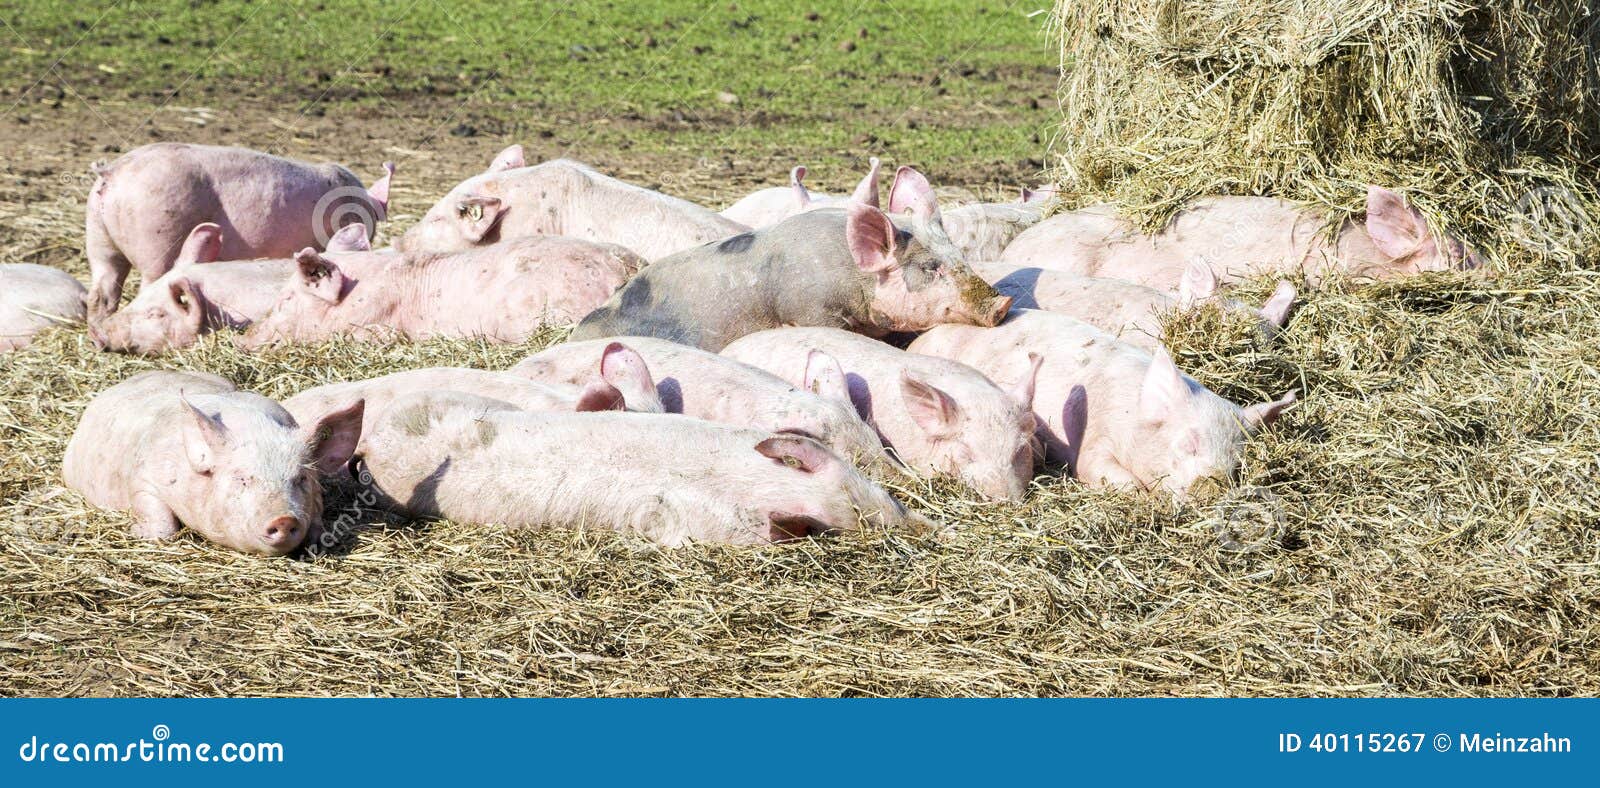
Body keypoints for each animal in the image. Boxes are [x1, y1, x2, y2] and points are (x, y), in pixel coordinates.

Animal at [62, 370, 363, 556]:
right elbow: (162, 524)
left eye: (300, 478)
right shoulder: (143, 479)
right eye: (242, 479)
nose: (283, 518)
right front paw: (136, 532)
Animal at [907, 309, 1296, 497]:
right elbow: (1102, 472)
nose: (1211, 488)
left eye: (1239, 462)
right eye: (1188, 444)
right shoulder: (1092, 440)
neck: (1133, 417)